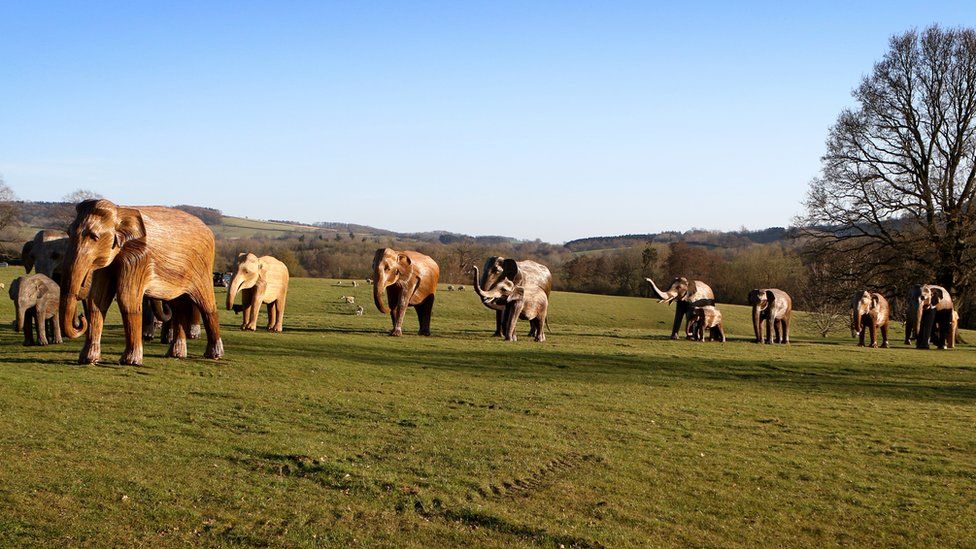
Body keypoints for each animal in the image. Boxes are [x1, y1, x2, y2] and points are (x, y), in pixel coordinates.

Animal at [59, 199, 224, 365]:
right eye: (68, 232)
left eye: (94, 237)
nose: (81, 317)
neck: (121, 211)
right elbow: (97, 300)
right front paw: (88, 359)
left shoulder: (138, 258)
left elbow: (127, 301)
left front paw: (130, 361)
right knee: (178, 306)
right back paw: (175, 354)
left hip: (202, 268)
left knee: (206, 304)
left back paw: (214, 355)